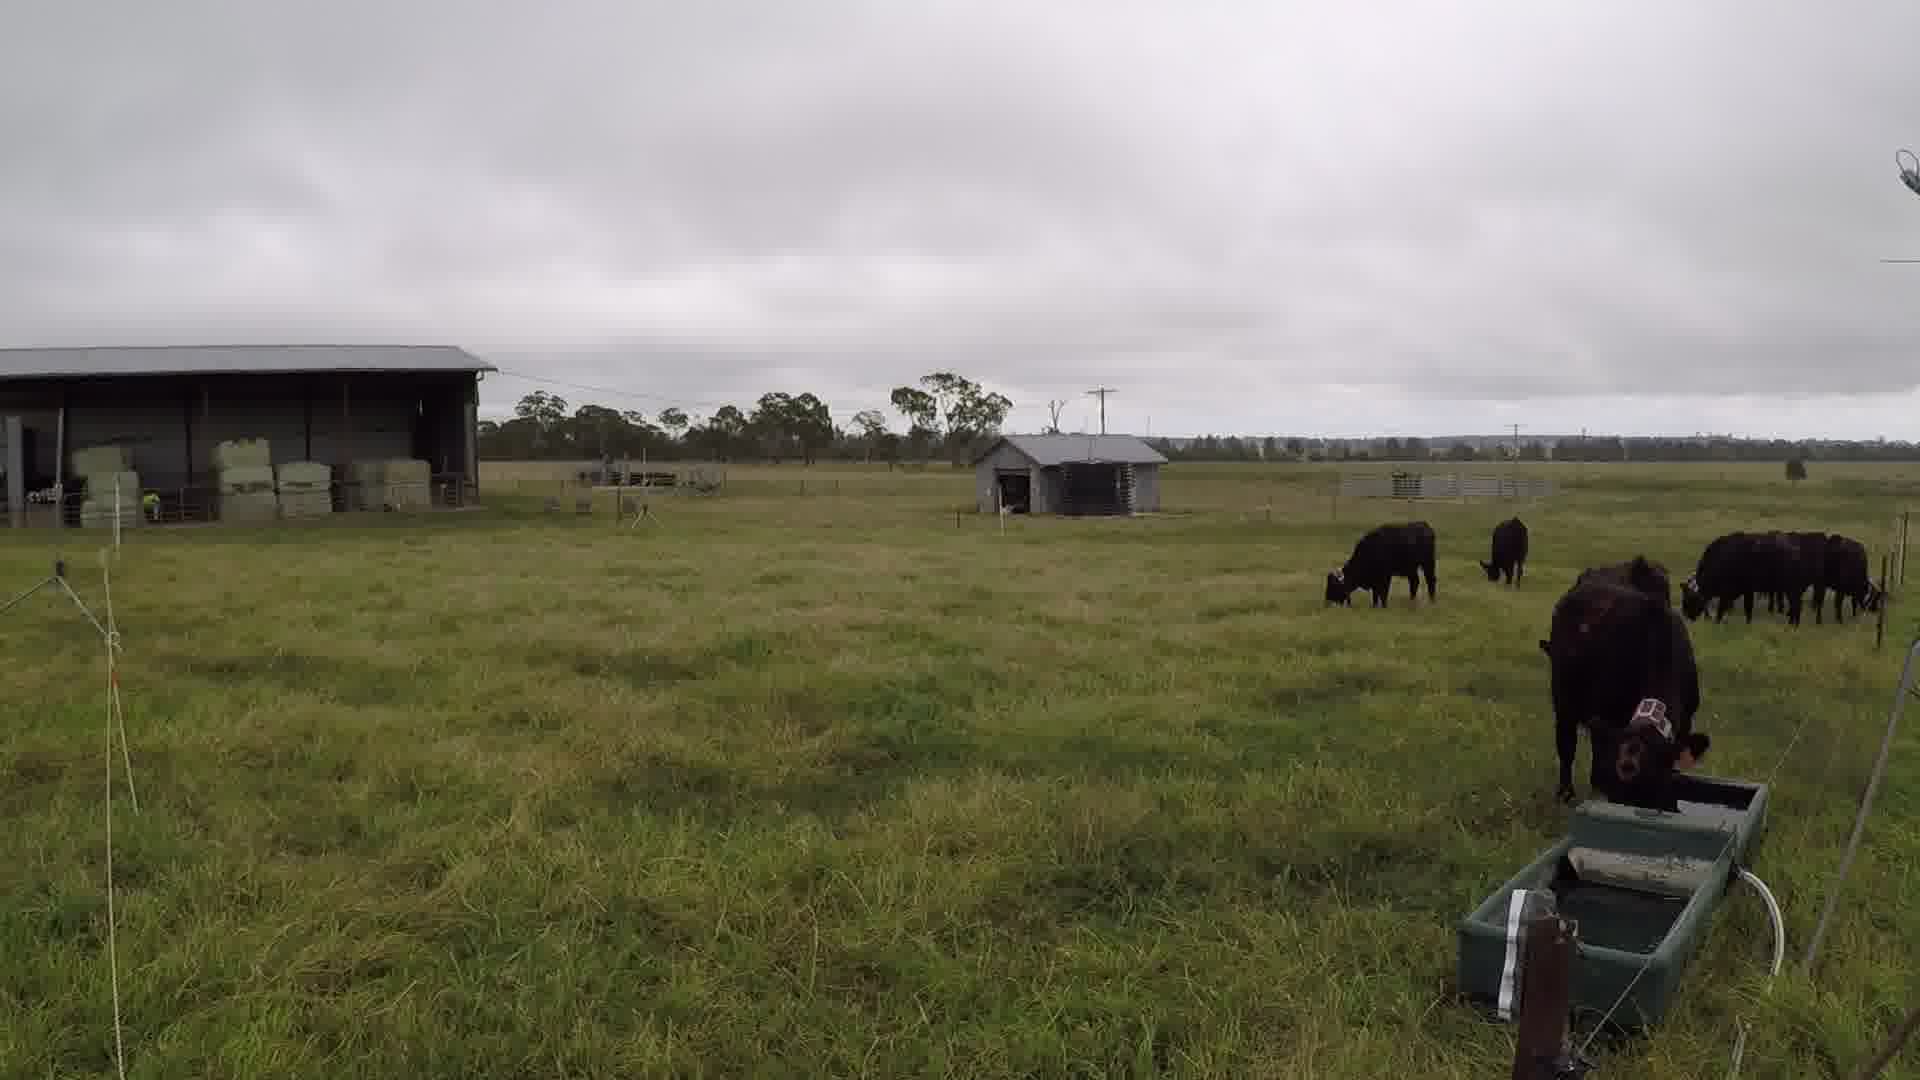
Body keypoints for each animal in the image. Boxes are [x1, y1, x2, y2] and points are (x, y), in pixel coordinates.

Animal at [1537, 580, 1711, 810]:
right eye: (1617, 795)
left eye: (1658, 787)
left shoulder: (1686, 722)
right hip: (1563, 700)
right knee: (1566, 746)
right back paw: (1565, 794)